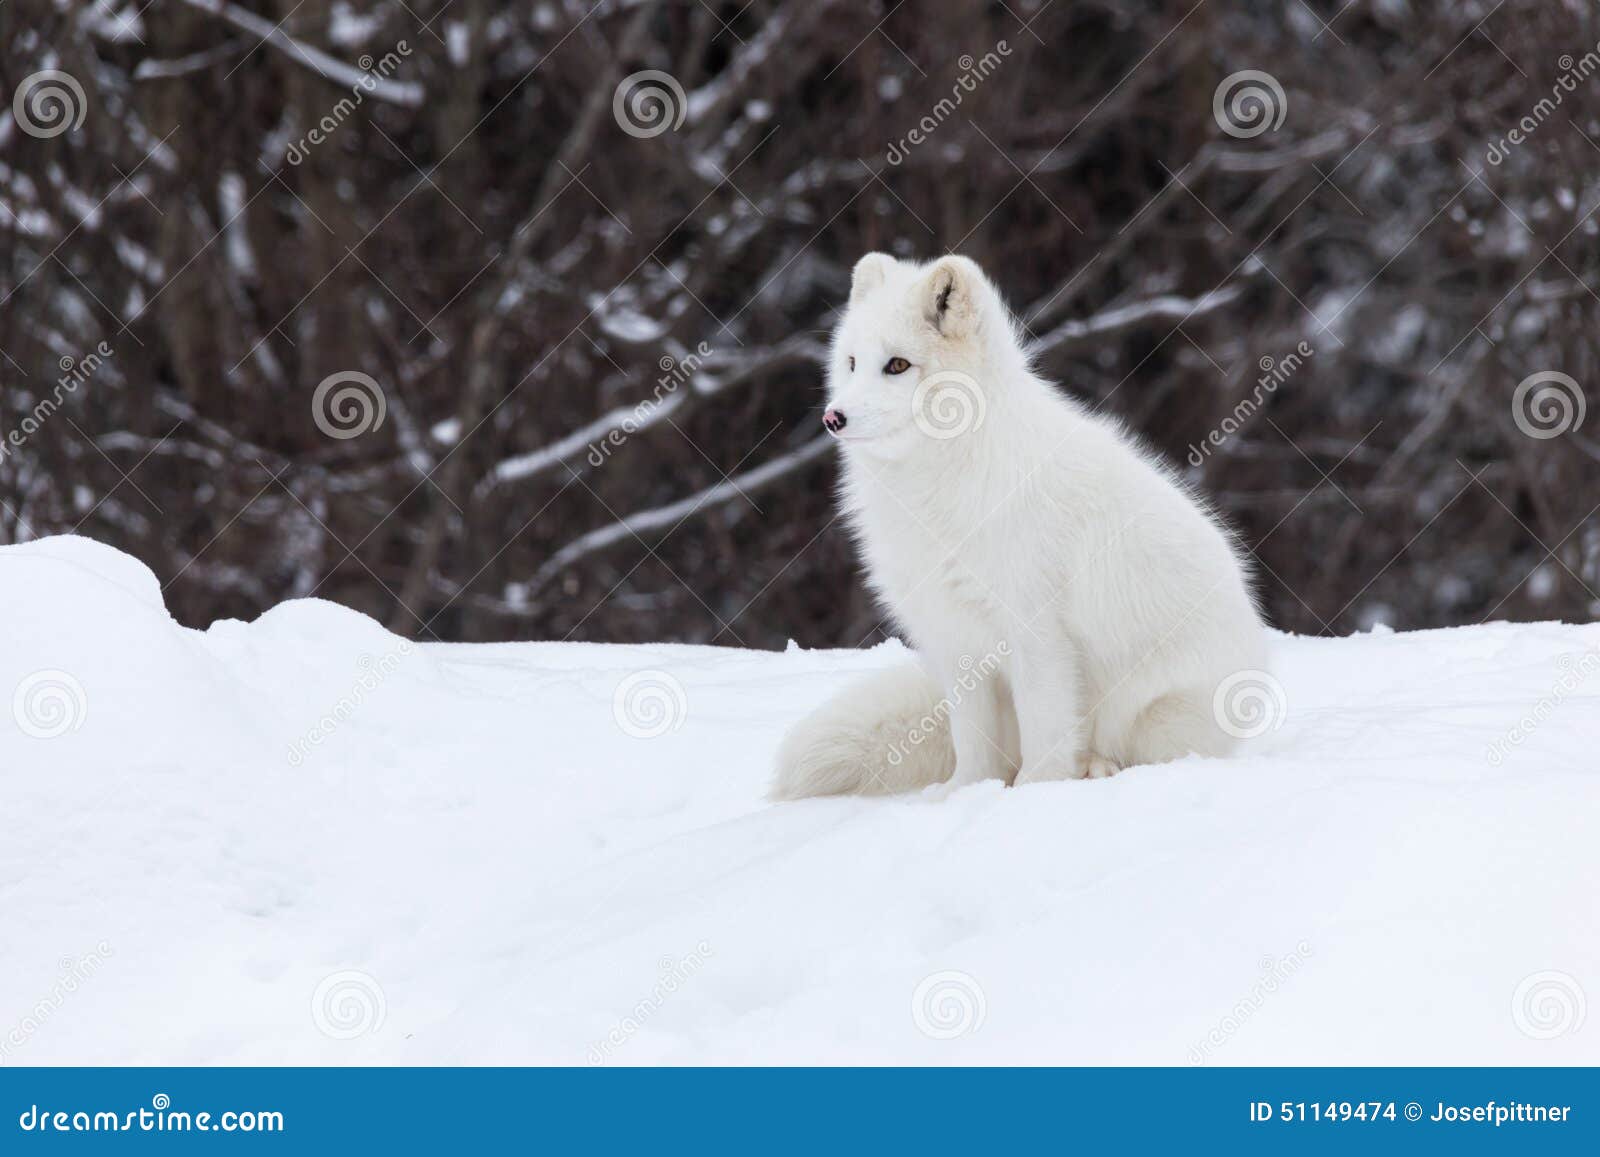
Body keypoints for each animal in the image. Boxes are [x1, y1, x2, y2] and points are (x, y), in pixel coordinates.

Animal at [771, 253, 1269, 799]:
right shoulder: (955, 635)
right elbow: (972, 740)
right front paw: (963, 792)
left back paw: (1095, 767)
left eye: (897, 365)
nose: (833, 418)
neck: (945, 475)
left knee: (1130, 752)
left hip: (1158, 717)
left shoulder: (1036, 631)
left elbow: (1045, 729)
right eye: (852, 363)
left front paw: (1036, 791)